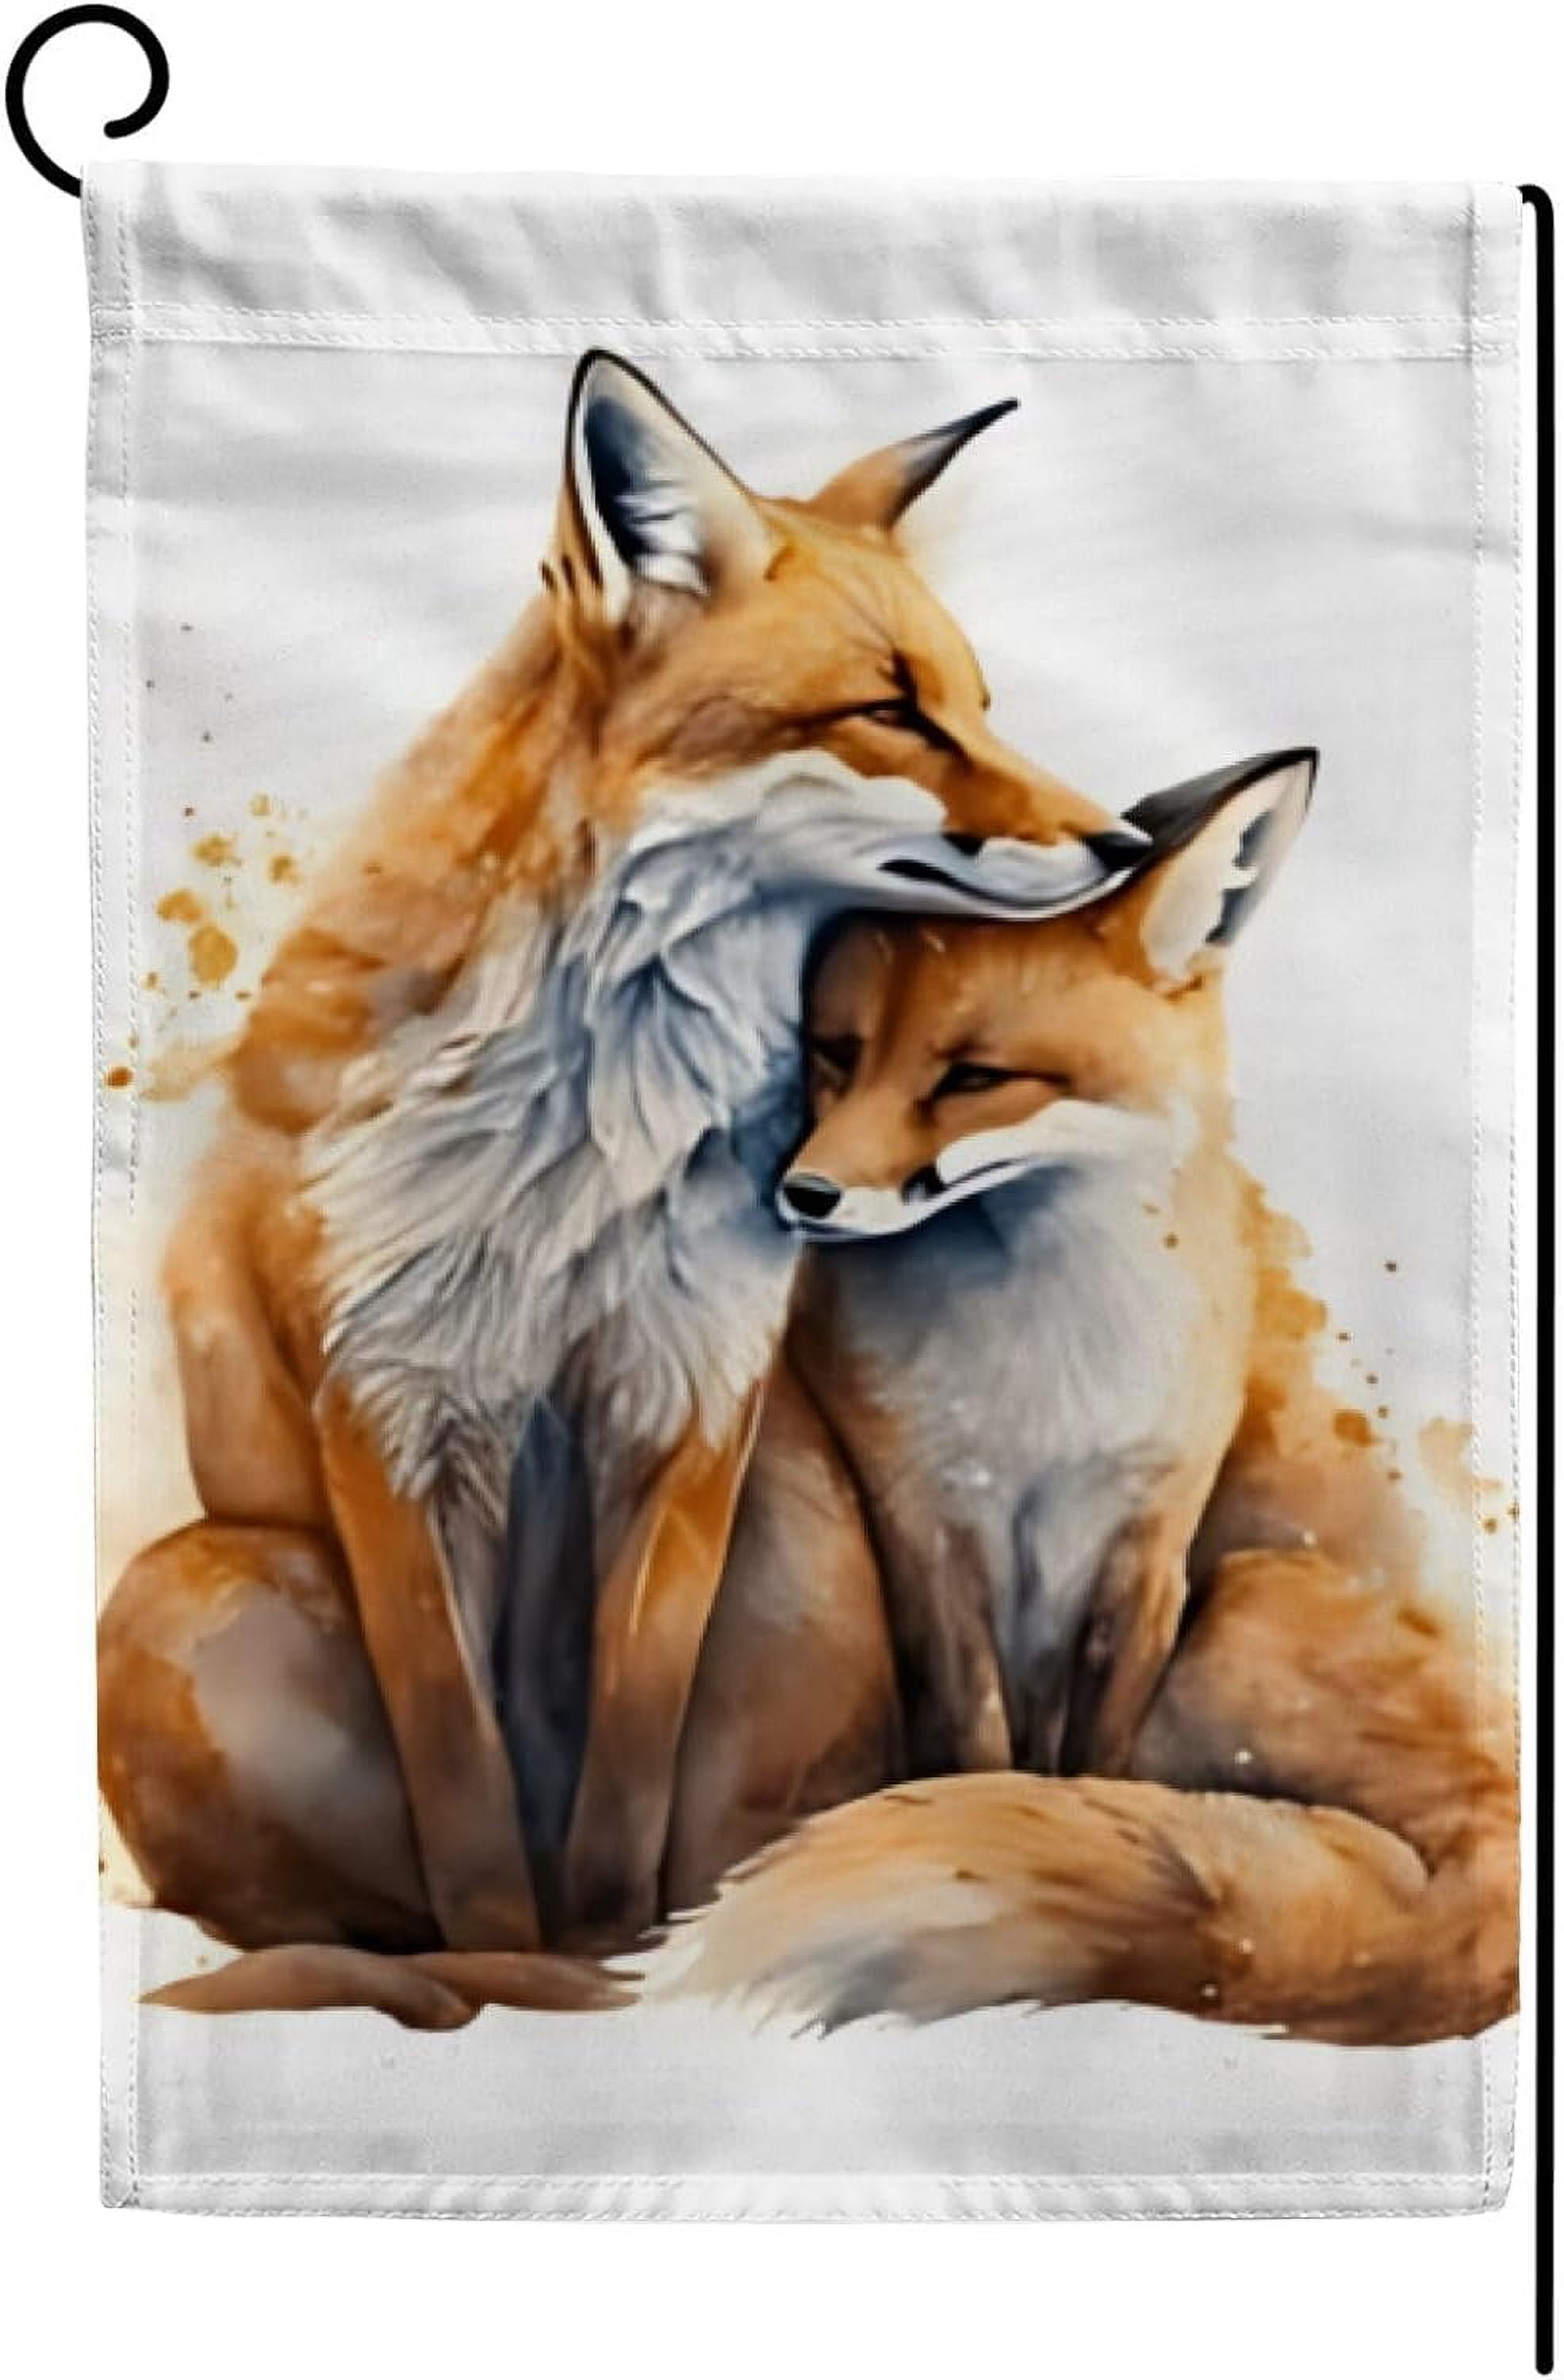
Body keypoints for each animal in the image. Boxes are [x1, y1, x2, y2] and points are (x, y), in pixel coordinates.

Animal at [97, 350, 1152, 2020]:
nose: (1125, 839)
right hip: (191, 1581)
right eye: (891, 710)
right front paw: (531, 1980)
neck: (583, 1140)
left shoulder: (686, 1398)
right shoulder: (392, 1411)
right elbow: (468, 1801)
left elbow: (618, 1796)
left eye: (980, 704)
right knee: (352, 1918)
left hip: (798, 1554)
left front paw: (603, 1964)